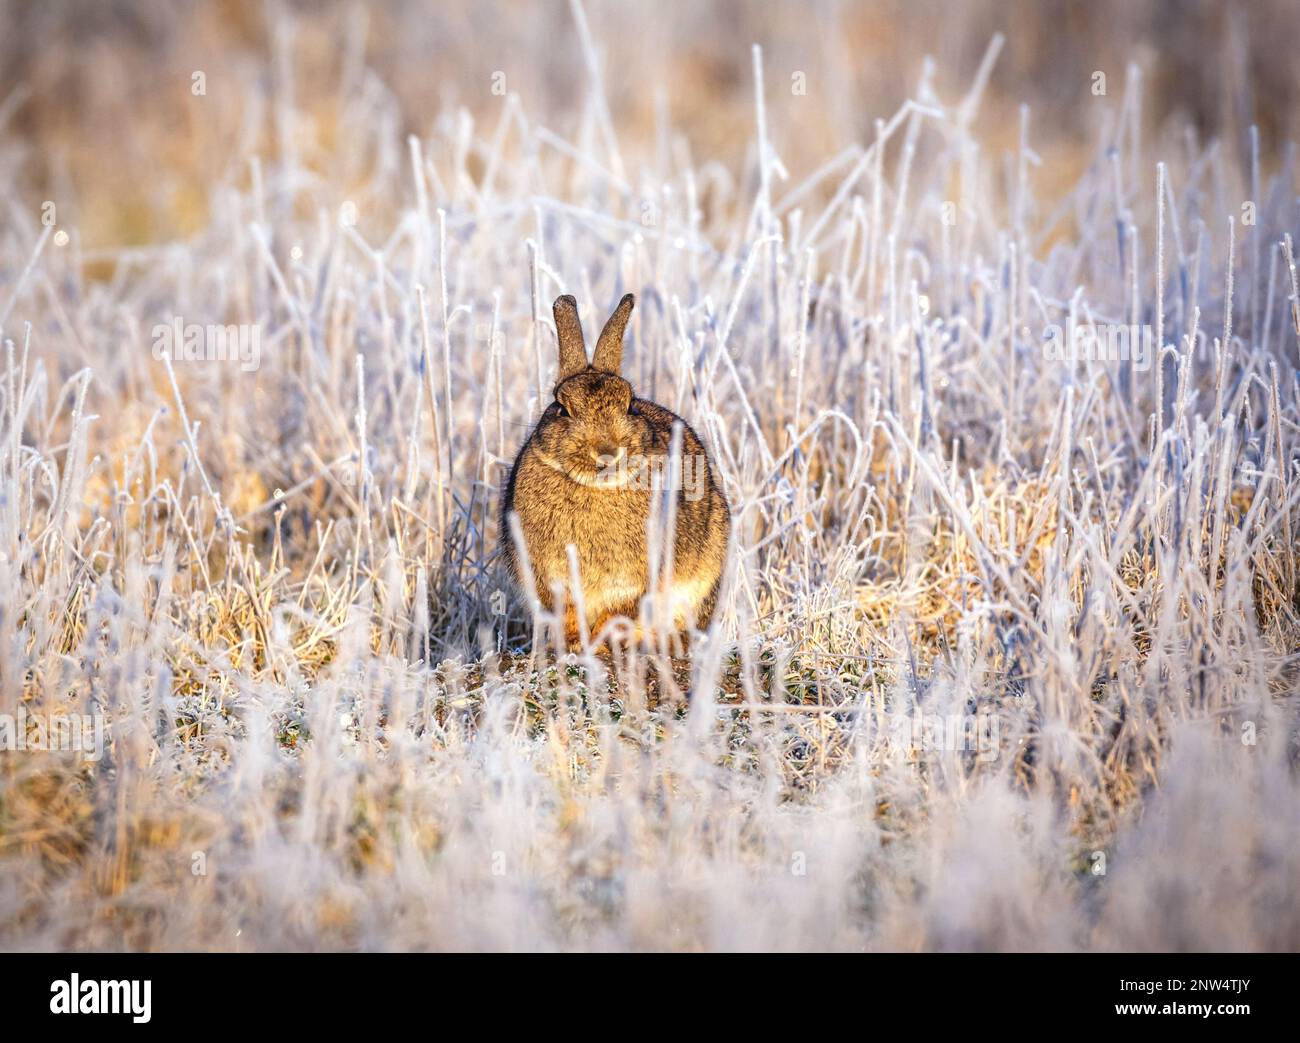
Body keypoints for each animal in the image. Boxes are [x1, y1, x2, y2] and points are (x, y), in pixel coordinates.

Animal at [501, 292, 730, 648]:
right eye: (562, 409)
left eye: (630, 405)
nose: (607, 451)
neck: (596, 487)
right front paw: (574, 641)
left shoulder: (637, 580)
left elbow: (618, 611)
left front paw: (598, 641)